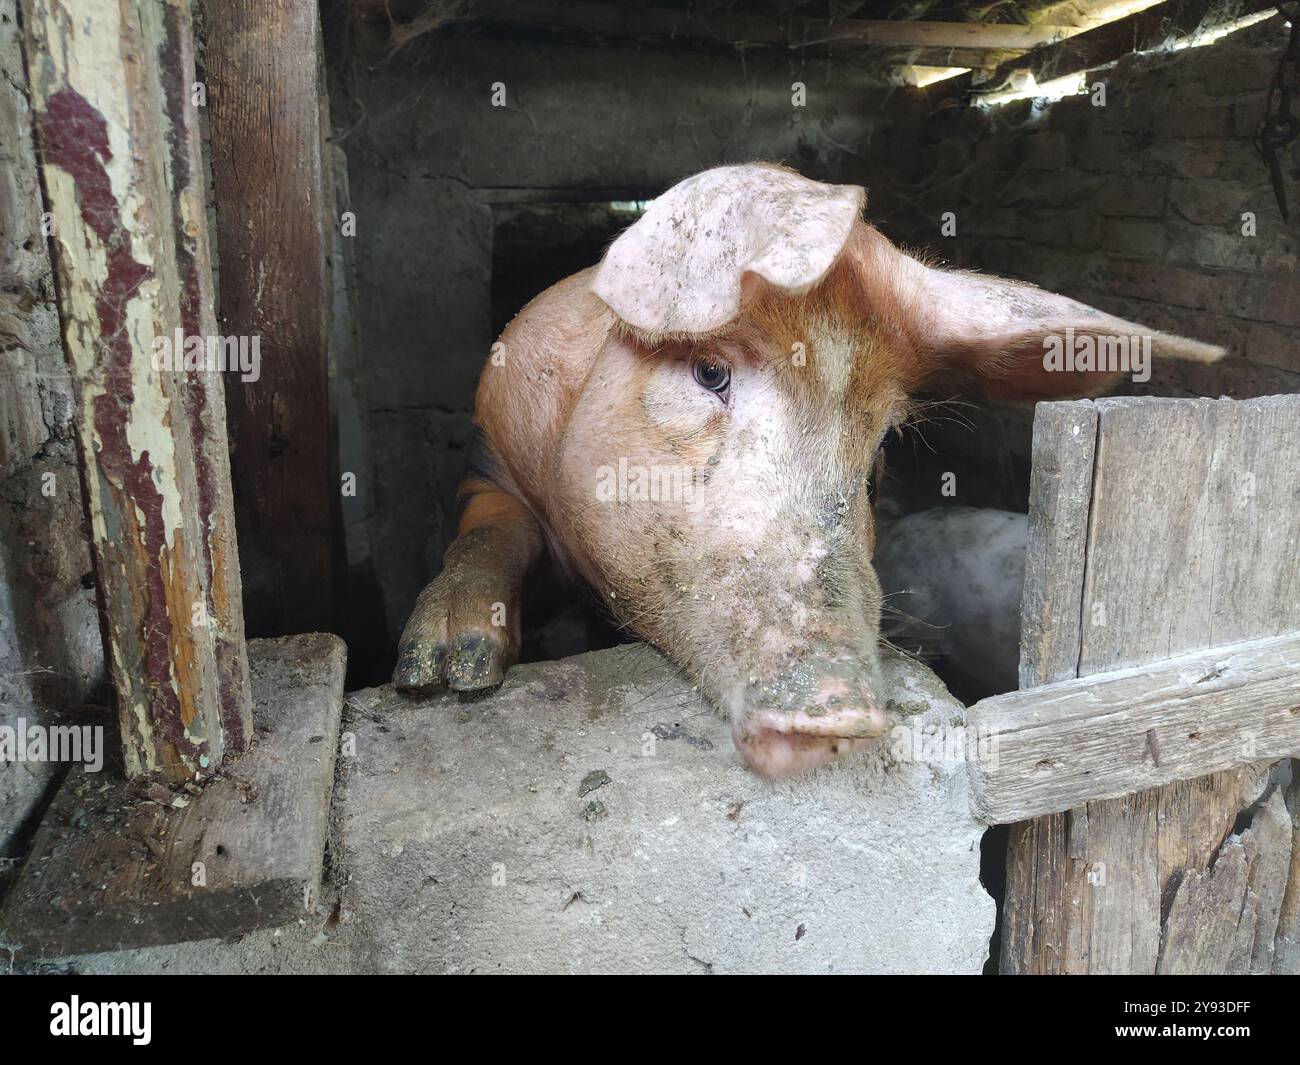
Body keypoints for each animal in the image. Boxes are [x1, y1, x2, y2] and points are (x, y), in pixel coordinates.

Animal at [392, 163, 1223, 778]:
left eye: (881, 442)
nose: (841, 705)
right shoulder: (489, 452)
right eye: (708, 372)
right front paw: (445, 671)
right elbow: (487, 532)